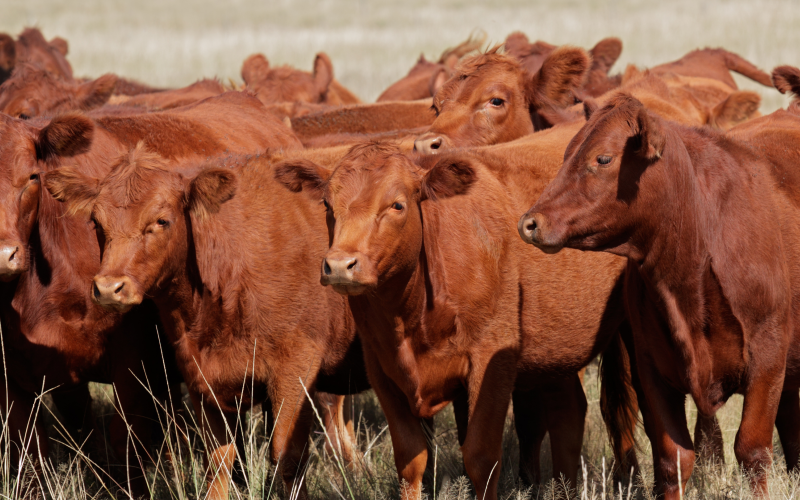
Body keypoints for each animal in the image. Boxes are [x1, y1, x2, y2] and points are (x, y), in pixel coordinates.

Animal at [0, 91, 301, 497]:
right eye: (95, 221)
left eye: (33, 177)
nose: (3, 253)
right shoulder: (13, 376)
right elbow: (30, 452)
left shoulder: (133, 360)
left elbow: (127, 439)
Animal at [45, 146, 370, 500]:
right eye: (96, 222)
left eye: (161, 221)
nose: (108, 287)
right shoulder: (203, 378)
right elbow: (218, 464)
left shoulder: (296, 370)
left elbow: (288, 458)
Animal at [274, 141, 640, 499]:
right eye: (327, 204)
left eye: (397, 205)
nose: (339, 265)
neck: (409, 316)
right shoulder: (382, 370)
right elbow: (410, 460)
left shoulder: (491, 360)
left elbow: (481, 457)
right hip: (556, 350)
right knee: (568, 411)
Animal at [518, 91, 800, 498]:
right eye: (567, 152)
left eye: (603, 158)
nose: (530, 222)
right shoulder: (650, 368)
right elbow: (673, 460)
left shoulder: (768, 358)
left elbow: (752, 451)